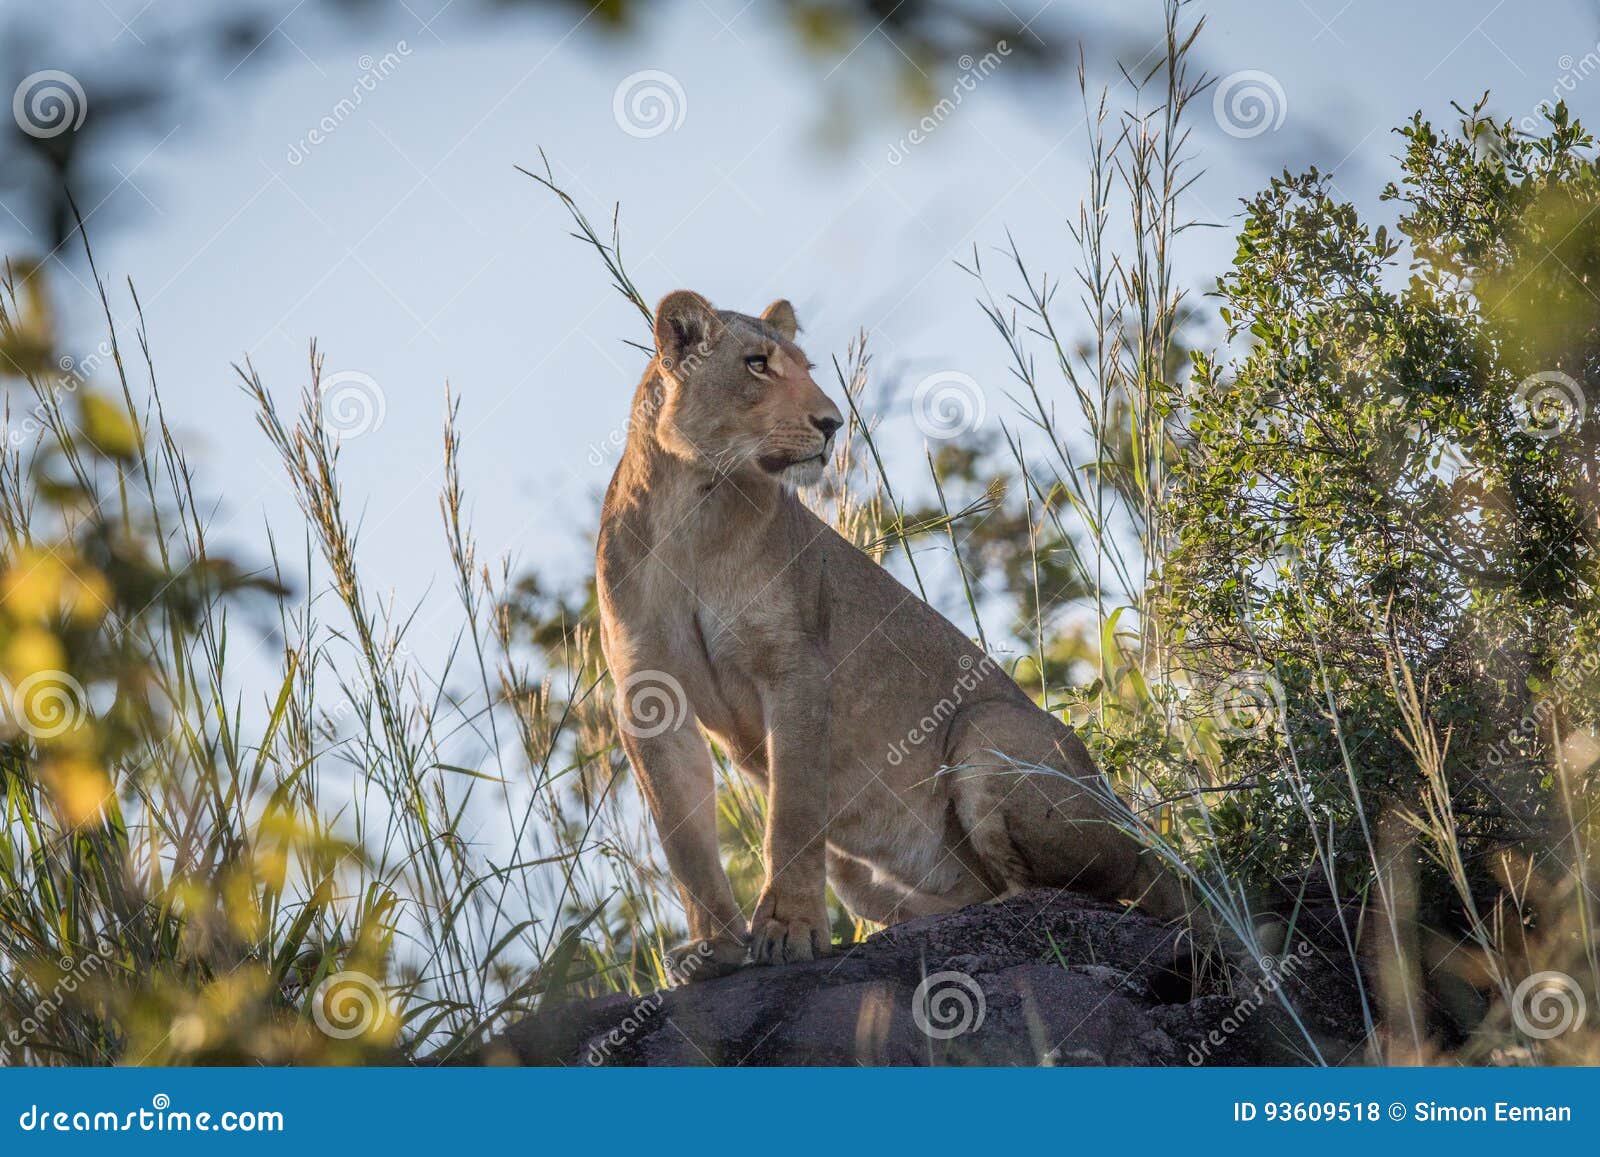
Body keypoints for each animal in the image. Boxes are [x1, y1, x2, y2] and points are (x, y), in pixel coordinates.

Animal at [597, 289, 1193, 982]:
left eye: (806, 367)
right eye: (757, 364)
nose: (832, 424)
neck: (692, 504)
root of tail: (1143, 837)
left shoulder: (795, 667)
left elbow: (792, 814)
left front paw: (790, 930)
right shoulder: (648, 691)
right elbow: (683, 836)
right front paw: (712, 949)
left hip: (989, 730)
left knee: (1065, 892)